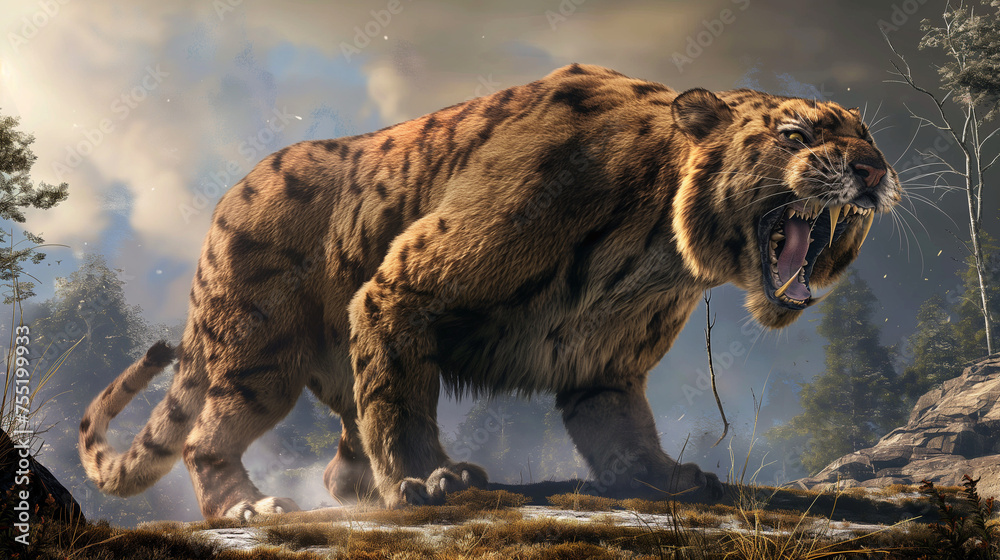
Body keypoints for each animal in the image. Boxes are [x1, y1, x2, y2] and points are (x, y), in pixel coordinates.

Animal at [79, 63, 901, 517]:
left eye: (867, 136)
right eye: (796, 135)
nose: (873, 170)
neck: (662, 251)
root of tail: (223, 205)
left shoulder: (608, 366)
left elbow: (624, 431)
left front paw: (664, 478)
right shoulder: (399, 287)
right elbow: (402, 406)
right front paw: (427, 479)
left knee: (340, 462)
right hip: (260, 357)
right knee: (207, 440)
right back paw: (250, 505)